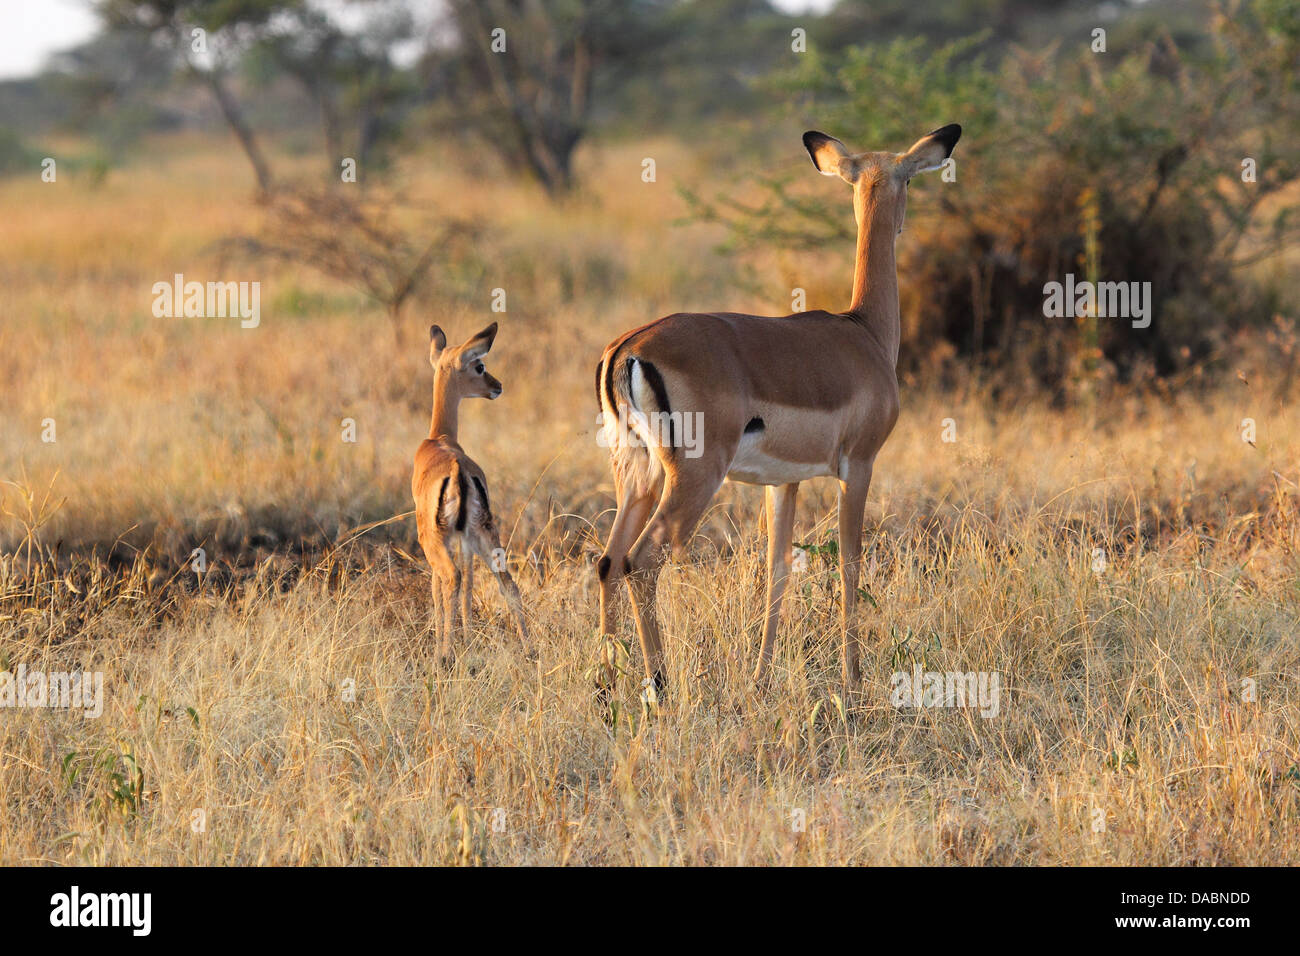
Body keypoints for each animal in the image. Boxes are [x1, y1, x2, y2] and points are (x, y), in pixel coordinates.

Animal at [413, 322, 528, 660]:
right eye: (480, 366)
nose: (497, 386)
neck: (439, 439)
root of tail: (457, 470)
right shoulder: (464, 538)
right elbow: (468, 586)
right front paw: (468, 635)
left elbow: (437, 588)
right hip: (484, 533)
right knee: (507, 582)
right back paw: (530, 650)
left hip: (436, 539)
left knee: (451, 577)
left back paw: (445, 655)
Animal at [595, 124, 961, 699]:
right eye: (908, 177)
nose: (904, 224)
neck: (864, 332)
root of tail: (627, 348)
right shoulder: (858, 465)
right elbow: (850, 565)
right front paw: (854, 684)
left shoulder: (783, 482)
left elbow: (778, 568)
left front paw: (761, 678)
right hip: (693, 477)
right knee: (643, 560)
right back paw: (659, 686)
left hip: (637, 473)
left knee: (609, 561)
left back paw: (608, 687)